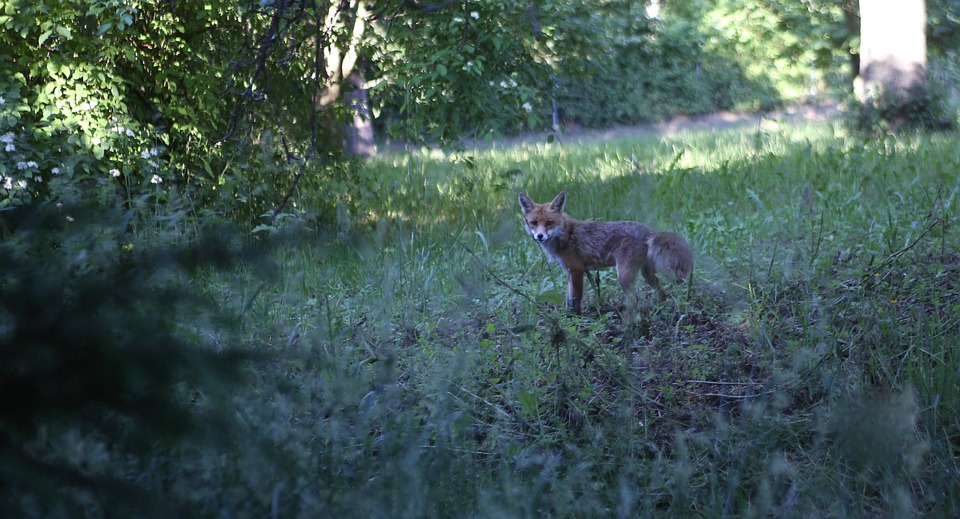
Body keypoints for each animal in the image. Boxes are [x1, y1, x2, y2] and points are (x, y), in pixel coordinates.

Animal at [518, 191, 693, 313]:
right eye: (534, 223)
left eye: (549, 223)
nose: (539, 236)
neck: (564, 235)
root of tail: (647, 229)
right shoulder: (569, 272)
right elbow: (569, 300)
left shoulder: (577, 271)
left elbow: (576, 301)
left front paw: (575, 320)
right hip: (646, 273)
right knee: (661, 292)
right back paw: (658, 310)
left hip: (623, 275)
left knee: (634, 298)